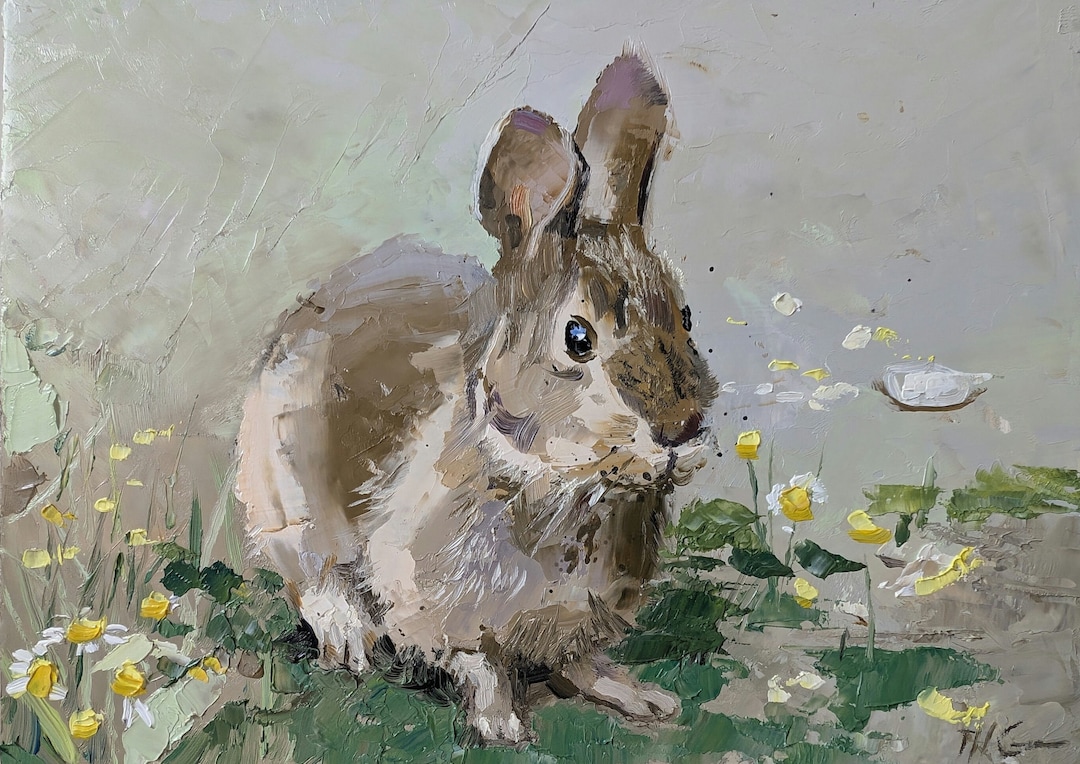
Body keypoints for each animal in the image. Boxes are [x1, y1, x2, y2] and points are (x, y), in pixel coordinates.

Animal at [235, 47, 718, 745]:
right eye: (578, 338)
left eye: (684, 315)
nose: (682, 427)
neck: (562, 482)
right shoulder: (446, 607)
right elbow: (482, 666)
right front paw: (505, 727)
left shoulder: (580, 616)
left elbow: (582, 660)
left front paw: (643, 699)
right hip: (283, 497)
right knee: (314, 576)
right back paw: (350, 638)